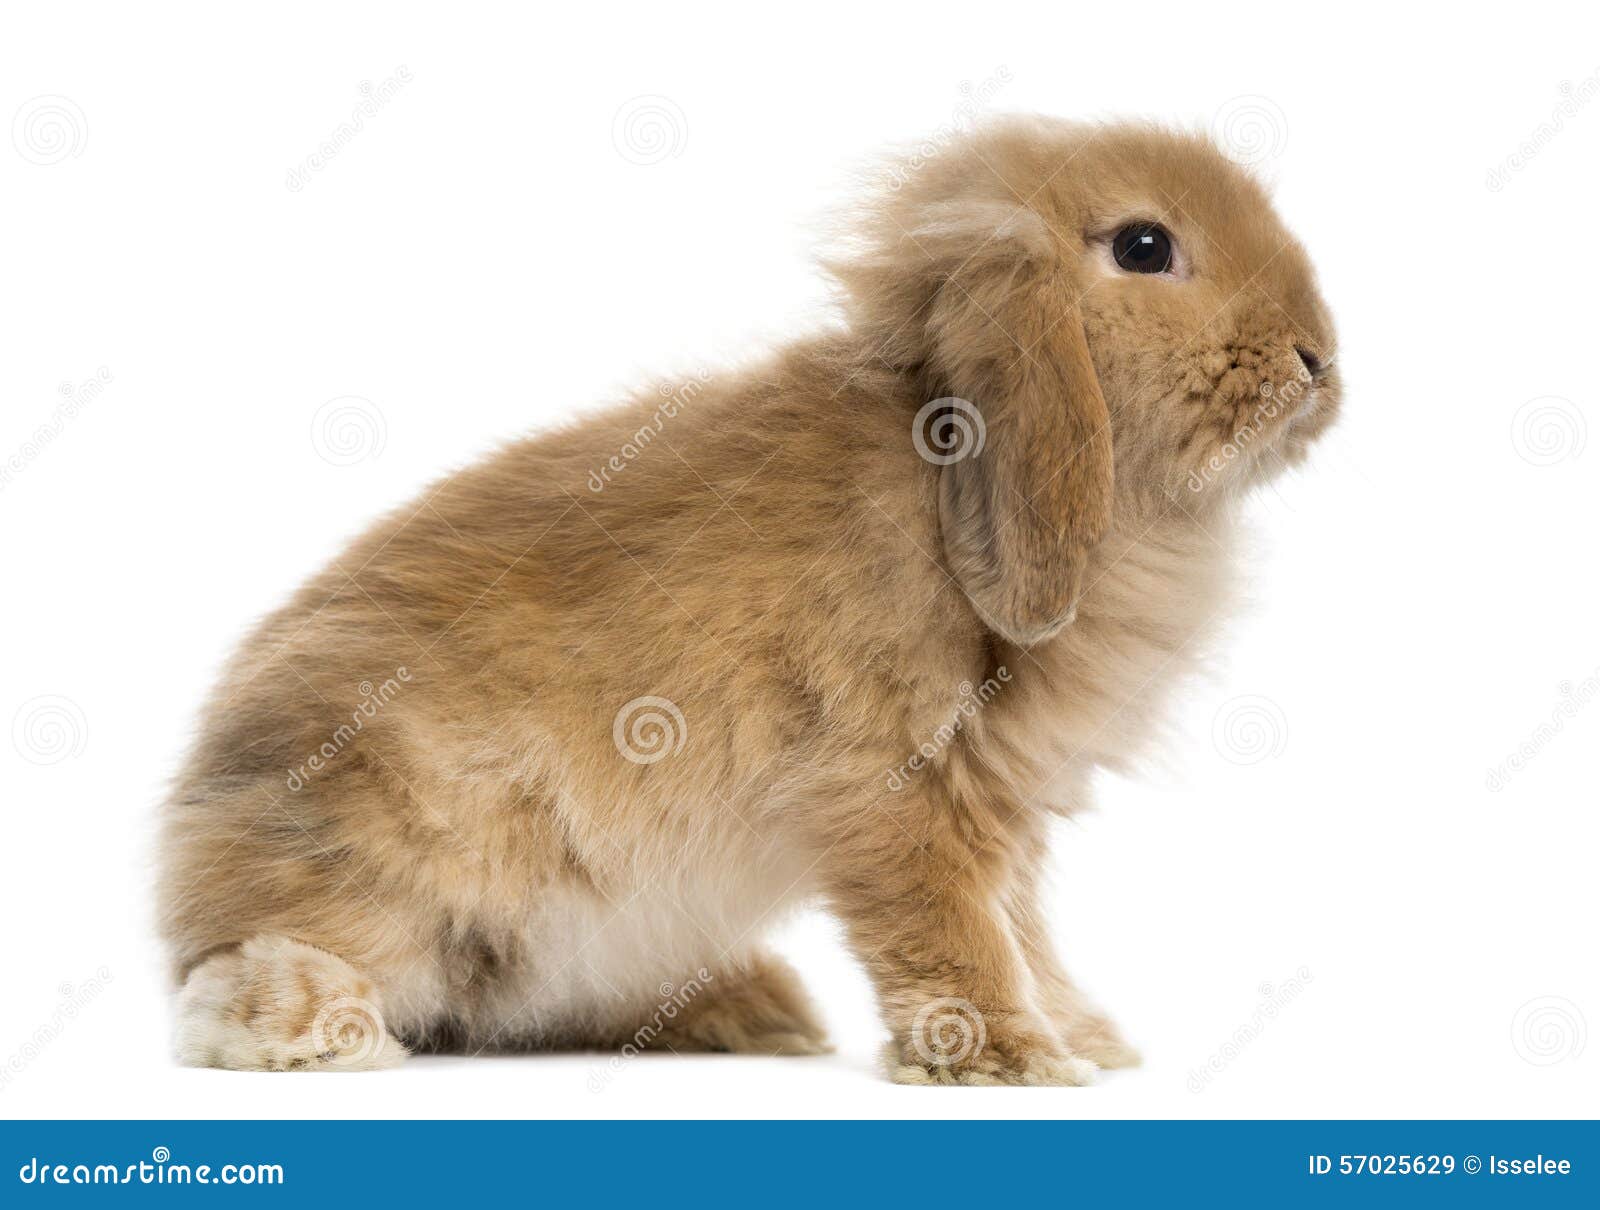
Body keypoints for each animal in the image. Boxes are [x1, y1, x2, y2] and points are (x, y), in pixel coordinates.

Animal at [157, 115, 1340, 1082]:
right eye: (1144, 247)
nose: (1319, 357)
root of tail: (189, 844)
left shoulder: (1002, 799)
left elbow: (1023, 926)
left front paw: (1085, 1039)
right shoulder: (891, 787)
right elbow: (951, 925)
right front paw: (1012, 1057)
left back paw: (752, 1010)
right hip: (390, 857)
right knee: (246, 982)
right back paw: (315, 1022)